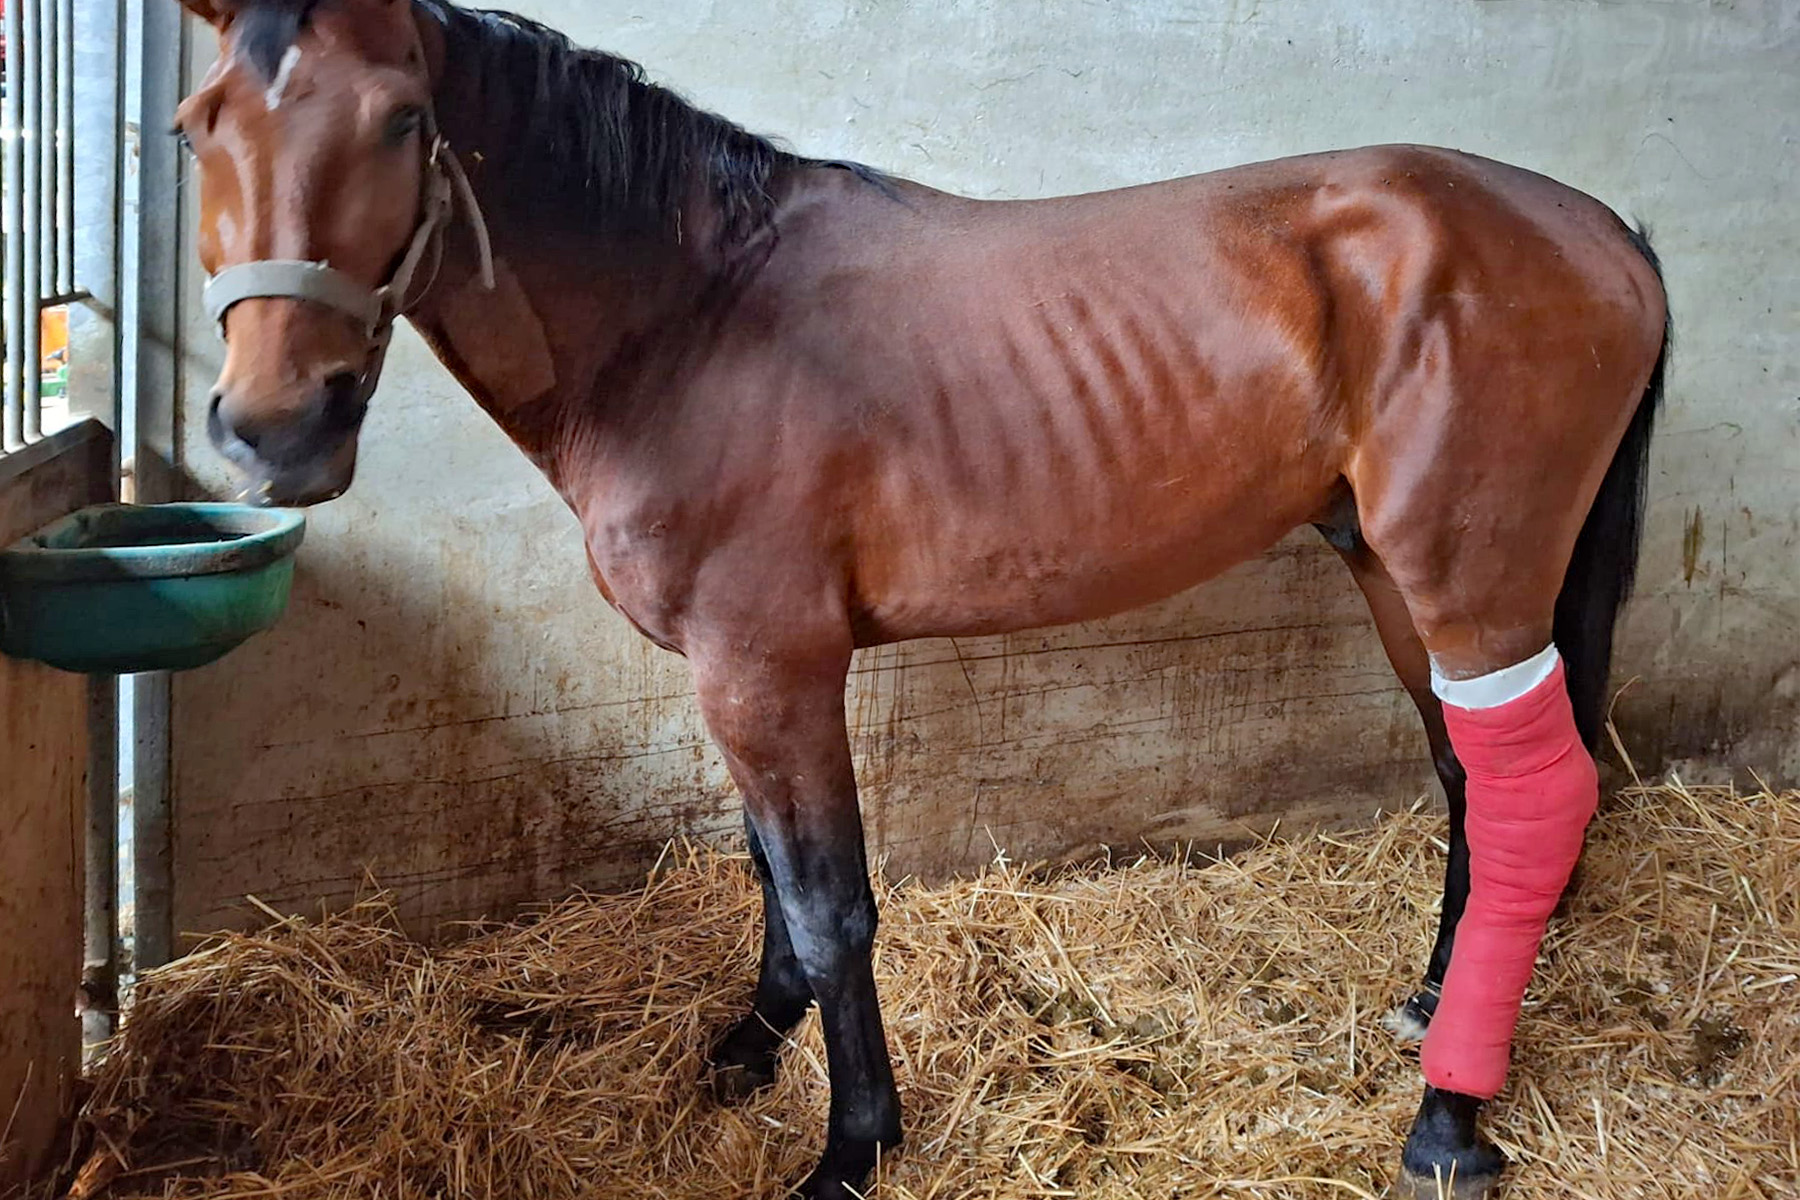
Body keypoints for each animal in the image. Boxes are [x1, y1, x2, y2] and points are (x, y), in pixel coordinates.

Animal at [173, 2, 1670, 1196]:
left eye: (402, 119)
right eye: (197, 130)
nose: (275, 431)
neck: (695, 319)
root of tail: (1602, 226)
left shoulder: (769, 662)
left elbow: (831, 903)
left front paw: (854, 1143)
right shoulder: (738, 672)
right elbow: (774, 875)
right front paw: (746, 1048)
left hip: (1472, 581)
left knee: (1542, 796)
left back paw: (1447, 1123)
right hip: (1402, 578)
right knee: (1473, 783)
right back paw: (1430, 1007)